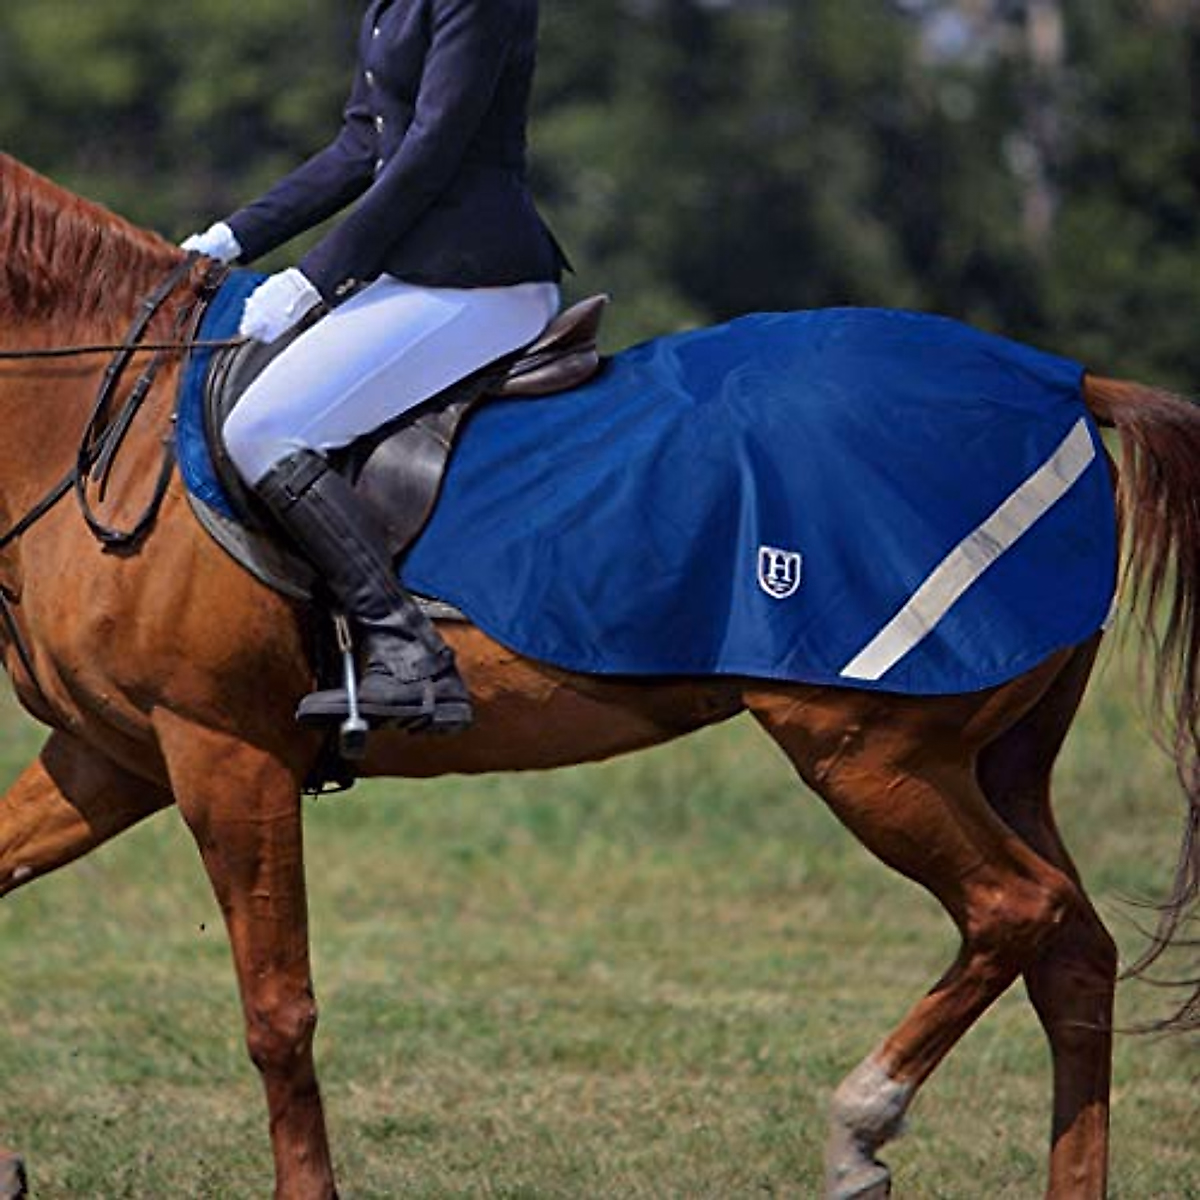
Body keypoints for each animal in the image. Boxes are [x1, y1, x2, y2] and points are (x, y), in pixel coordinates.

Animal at [0, 152, 1195, 1200]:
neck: (103, 418)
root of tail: (1055, 382)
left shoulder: (224, 755)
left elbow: (277, 1011)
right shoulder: (116, 755)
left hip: (873, 754)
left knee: (1016, 908)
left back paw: (859, 1129)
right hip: (997, 762)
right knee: (1073, 958)